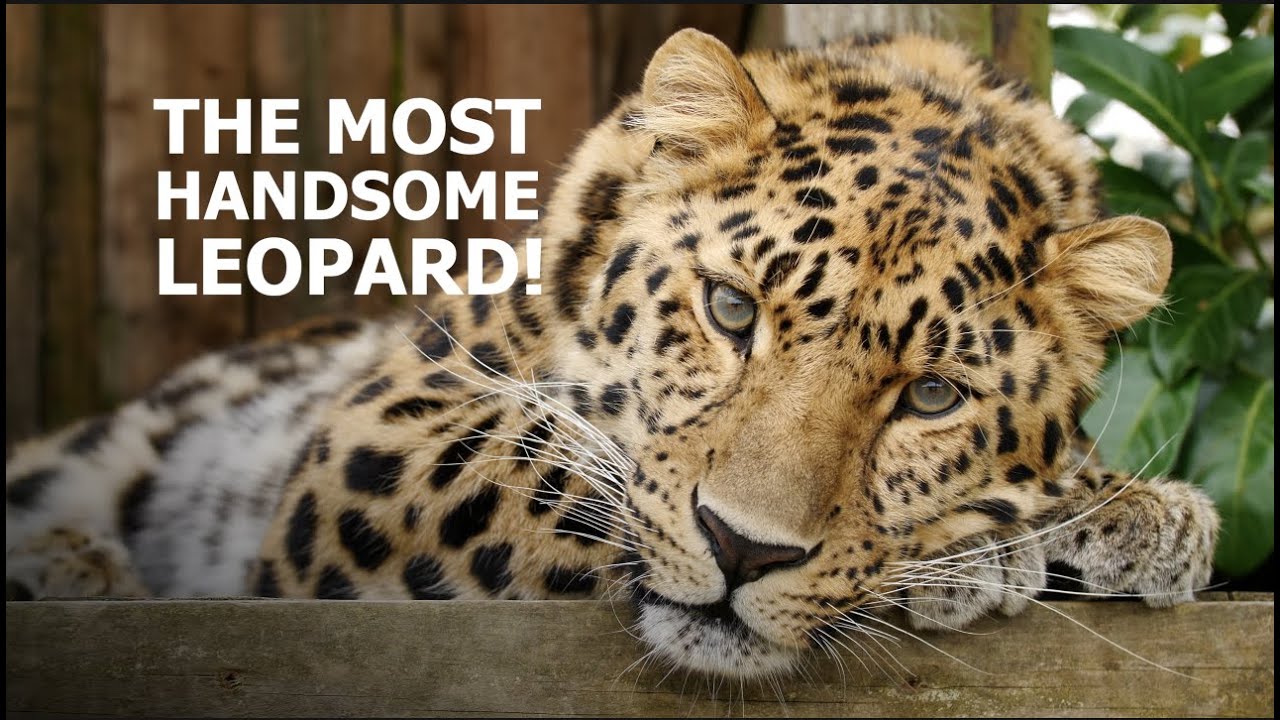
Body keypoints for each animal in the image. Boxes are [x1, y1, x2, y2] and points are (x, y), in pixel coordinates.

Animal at [6, 30, 1218, 679]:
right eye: (730, 310)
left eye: (929, 396)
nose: (746, 553)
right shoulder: (385, 428)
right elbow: (559, 463)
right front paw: (982, 552)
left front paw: (1128, 513)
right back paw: (71, 563)